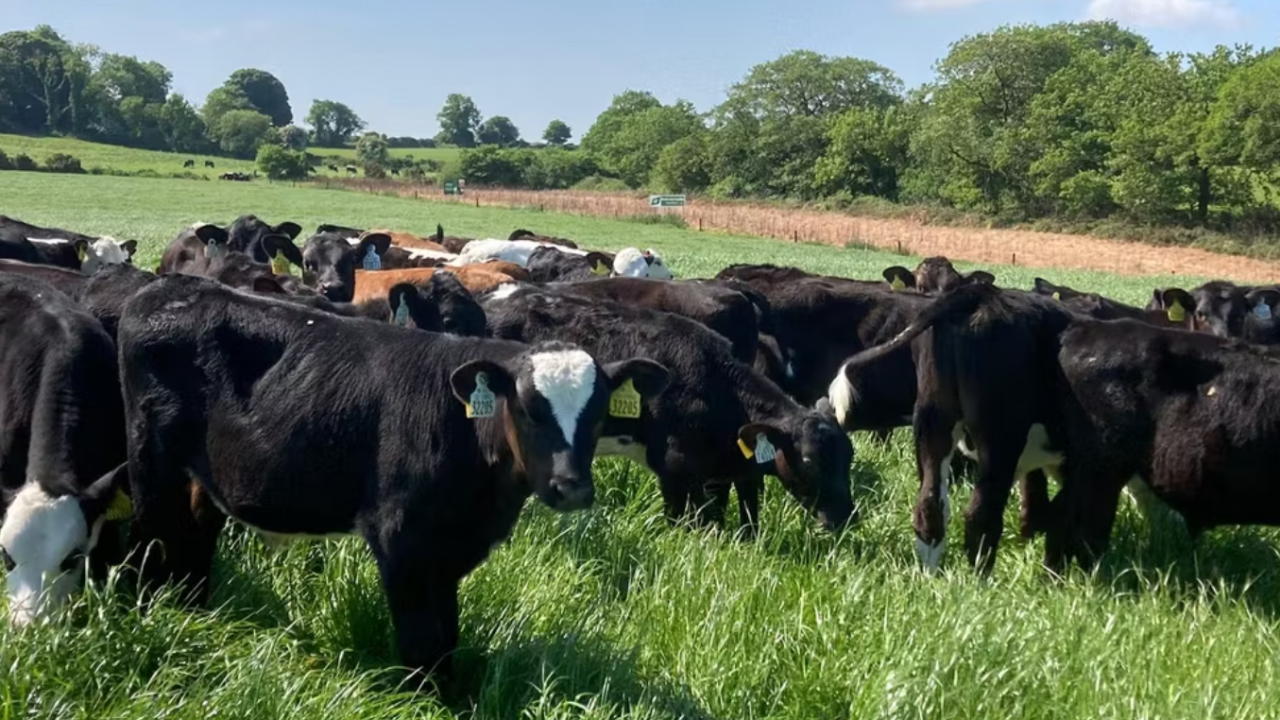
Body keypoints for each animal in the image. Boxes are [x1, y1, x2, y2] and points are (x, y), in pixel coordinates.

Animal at [115, 273, 669, 679]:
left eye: (598, 415)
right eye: (531, 409)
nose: (571, 488)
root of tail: (170, 286)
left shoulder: (450, 548)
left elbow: (447, 637)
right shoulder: (398, 539)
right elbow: (421, 641)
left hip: (200, 477)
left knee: (195, 535)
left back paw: (195, 609)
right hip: (150, 460)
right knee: (153, 537)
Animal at [480, 286, 854, 537]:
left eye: (848, 458)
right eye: (809, 460)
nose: (846, 517)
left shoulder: (721, 474)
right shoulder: (674, 470)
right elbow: (682, 523)